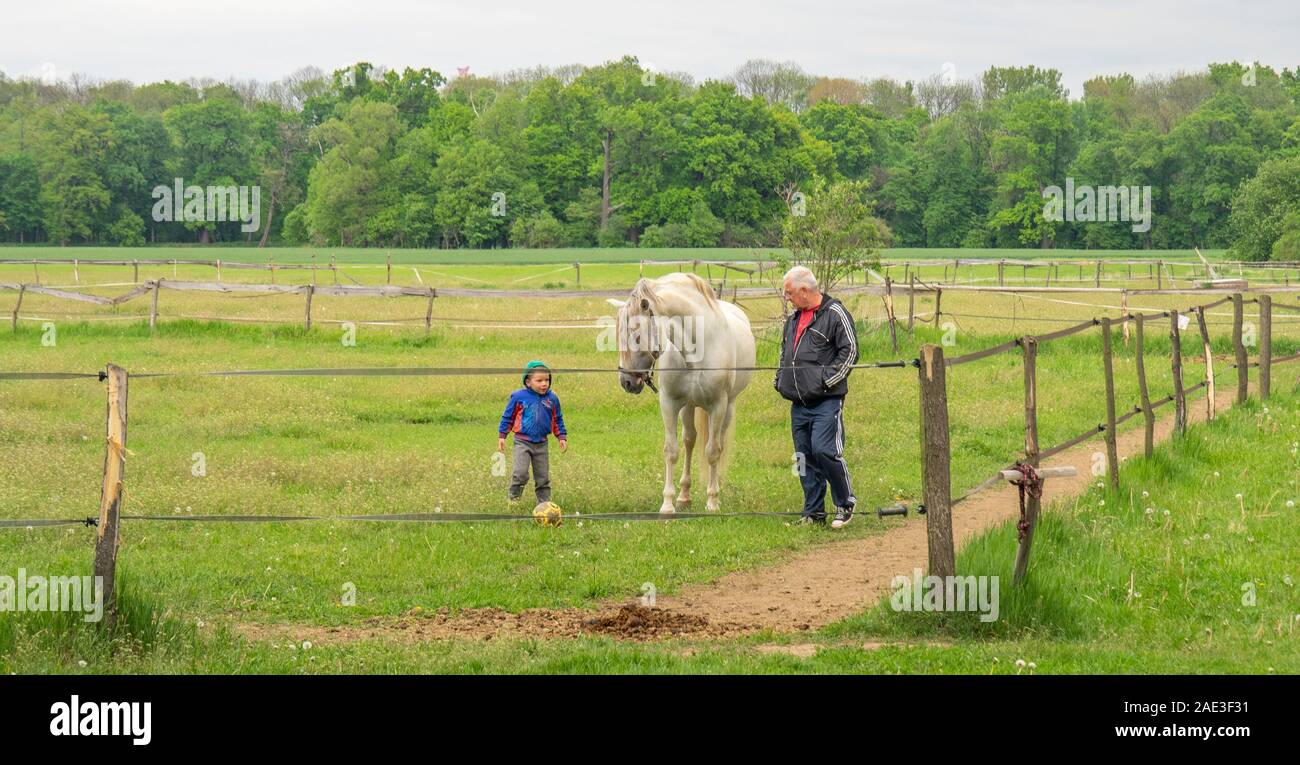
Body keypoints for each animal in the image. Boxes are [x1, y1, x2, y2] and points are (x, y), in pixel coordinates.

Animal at [609, 272, 755, 514]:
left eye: (637, 336)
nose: (627, 382)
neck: (696, 348)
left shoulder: (718, 405)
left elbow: (713, 451)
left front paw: (712, 501)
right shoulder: (670, 402)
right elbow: (672, 450)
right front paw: (668, 504)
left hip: (728, 407)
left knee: (719, 444)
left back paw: (715, 488)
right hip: (689, 406)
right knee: (689, 440)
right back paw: (684, 495)